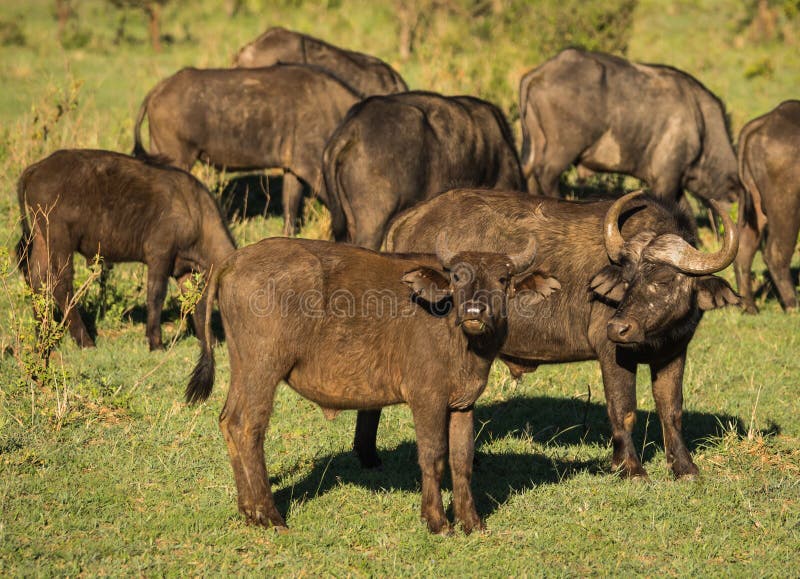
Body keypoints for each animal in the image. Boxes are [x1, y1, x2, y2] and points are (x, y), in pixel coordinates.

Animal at [16, 149, 235, 350]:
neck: (196, 213)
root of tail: (38, 167)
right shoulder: (159, 255)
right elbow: (156, 295)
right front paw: (156, 343)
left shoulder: (184, 269)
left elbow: (196, 302)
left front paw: (209, 341)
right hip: (60, 240)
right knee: (61, 285)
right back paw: (85, 340)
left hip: (41, 238)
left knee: (36, 279)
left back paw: (42, 336)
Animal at [185, 237, 559, 533]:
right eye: (457, 277)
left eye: (503, 278)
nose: (474, 312)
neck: (462, 340)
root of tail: (235, 260)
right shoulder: (427, 400)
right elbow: (433, 455)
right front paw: (437, 521)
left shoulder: (463, 403)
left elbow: (462, 459)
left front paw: (472, 522)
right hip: (263, 369)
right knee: (248, 428)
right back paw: (270, 515)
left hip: (243, 368)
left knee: (228, 421)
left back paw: (248, 511)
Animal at [350, 189, 740, 479]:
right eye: (627, 278)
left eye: (664, 279)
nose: (619, 327)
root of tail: (410, 218)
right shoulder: (612, 352)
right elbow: (623, 408)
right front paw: (630, 468)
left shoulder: (674, 352)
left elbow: (671, 409)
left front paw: (685, 468)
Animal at [519, 49, 741, 208]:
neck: (701, 122)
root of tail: (541, 73)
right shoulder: (666, 179)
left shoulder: (674, 182)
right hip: (564, 148)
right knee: (546, 174)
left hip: (535, 144)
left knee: (530, 173)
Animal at [734, 100, 800, 313]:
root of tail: (767, 120)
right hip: (786, 206)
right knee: (776, 252)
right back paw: (793, 305)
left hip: (754, 205)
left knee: (744, 247)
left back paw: (749, 307)